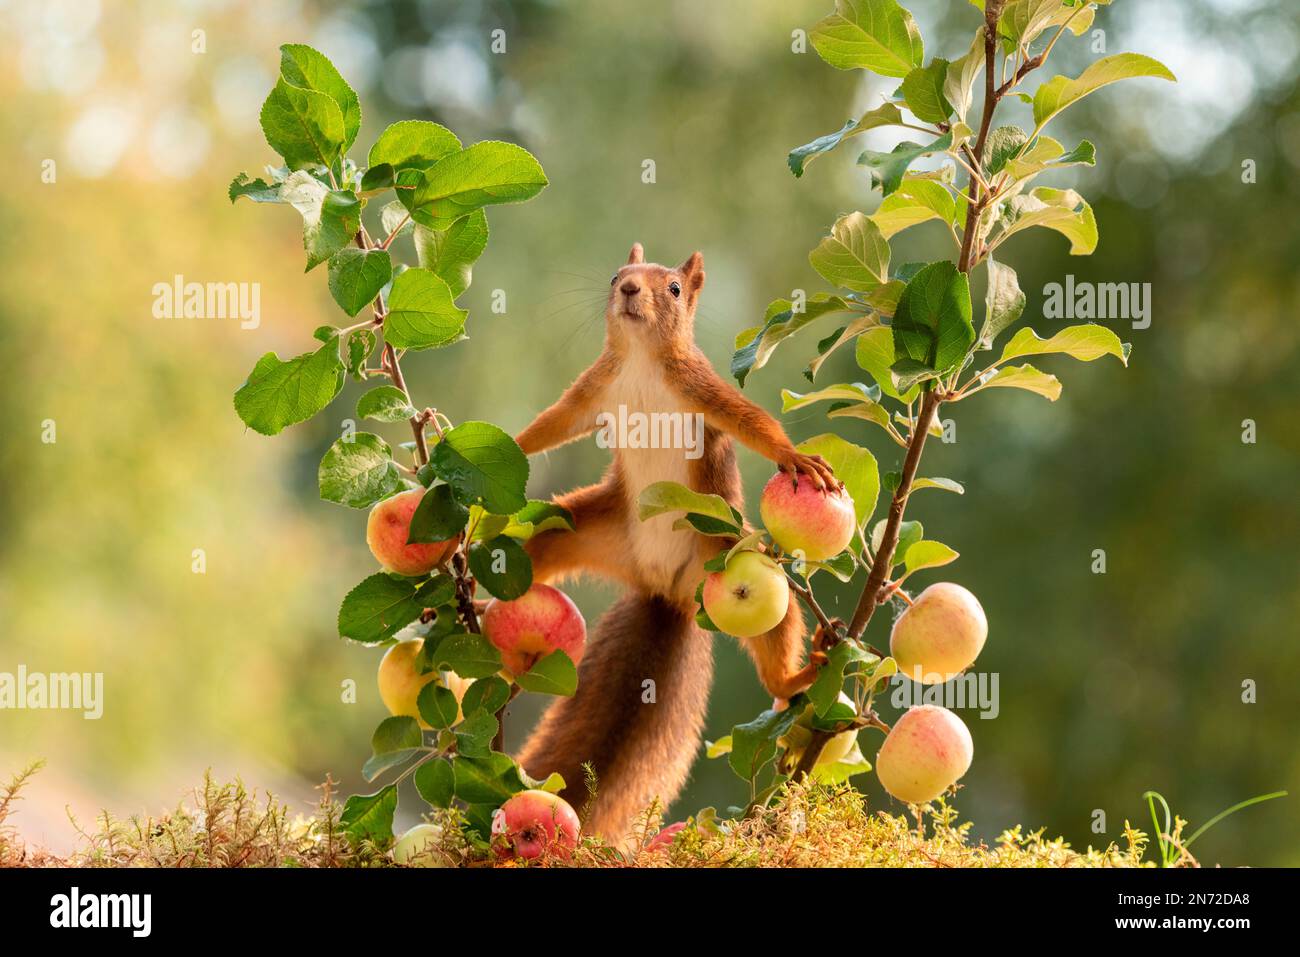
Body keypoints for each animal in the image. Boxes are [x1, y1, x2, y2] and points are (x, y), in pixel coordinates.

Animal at [513, 243, 839, 842]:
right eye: (616, 274)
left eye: (674, 289)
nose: (628, 290)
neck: (642, 362)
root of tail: (666, 593)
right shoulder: (594, 390)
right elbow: (553, 423)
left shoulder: (701, 388)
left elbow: (753, 422)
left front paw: (794, 457)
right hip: (586, 529)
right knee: (536, 552)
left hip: (727, 555)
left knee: (776, 647)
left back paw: (794, 676)